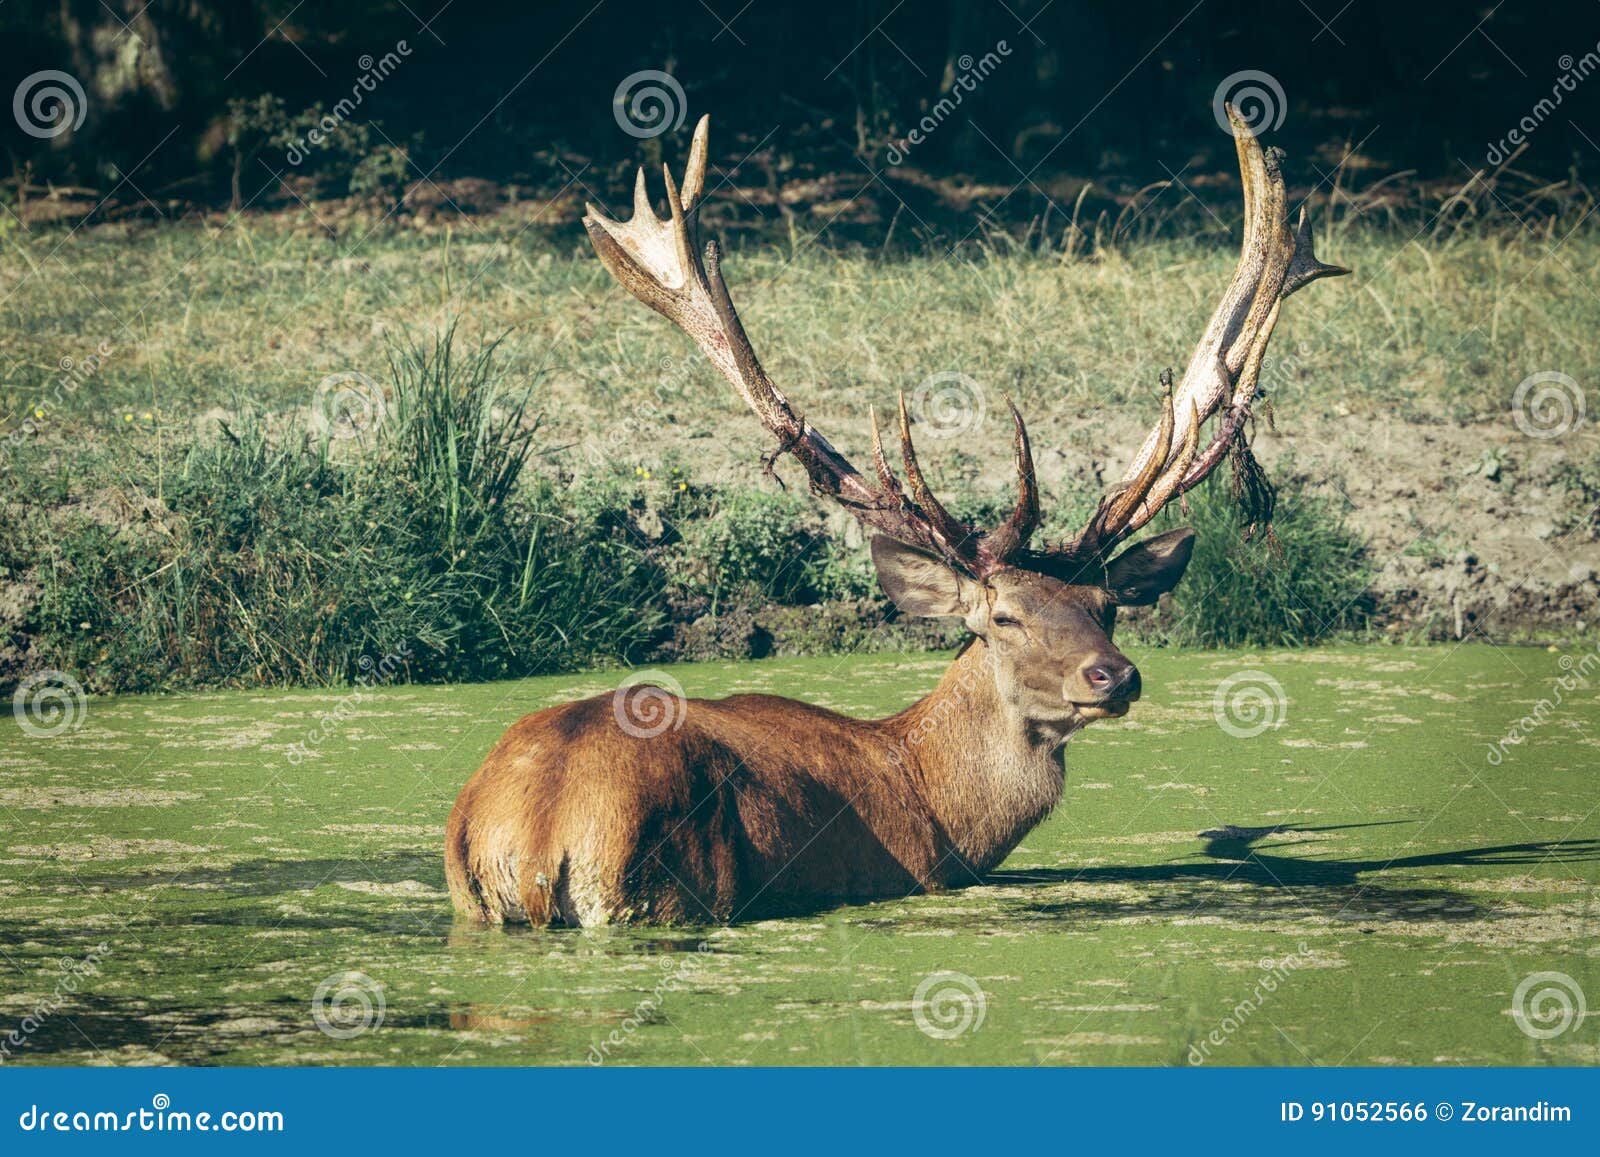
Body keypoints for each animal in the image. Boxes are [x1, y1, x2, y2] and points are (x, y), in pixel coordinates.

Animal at [445, 107, 1347, 927]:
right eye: (1004, 617)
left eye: (1107, 606)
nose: (1114, 674)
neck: (931, 792)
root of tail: (532, 834)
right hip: (662, 886)